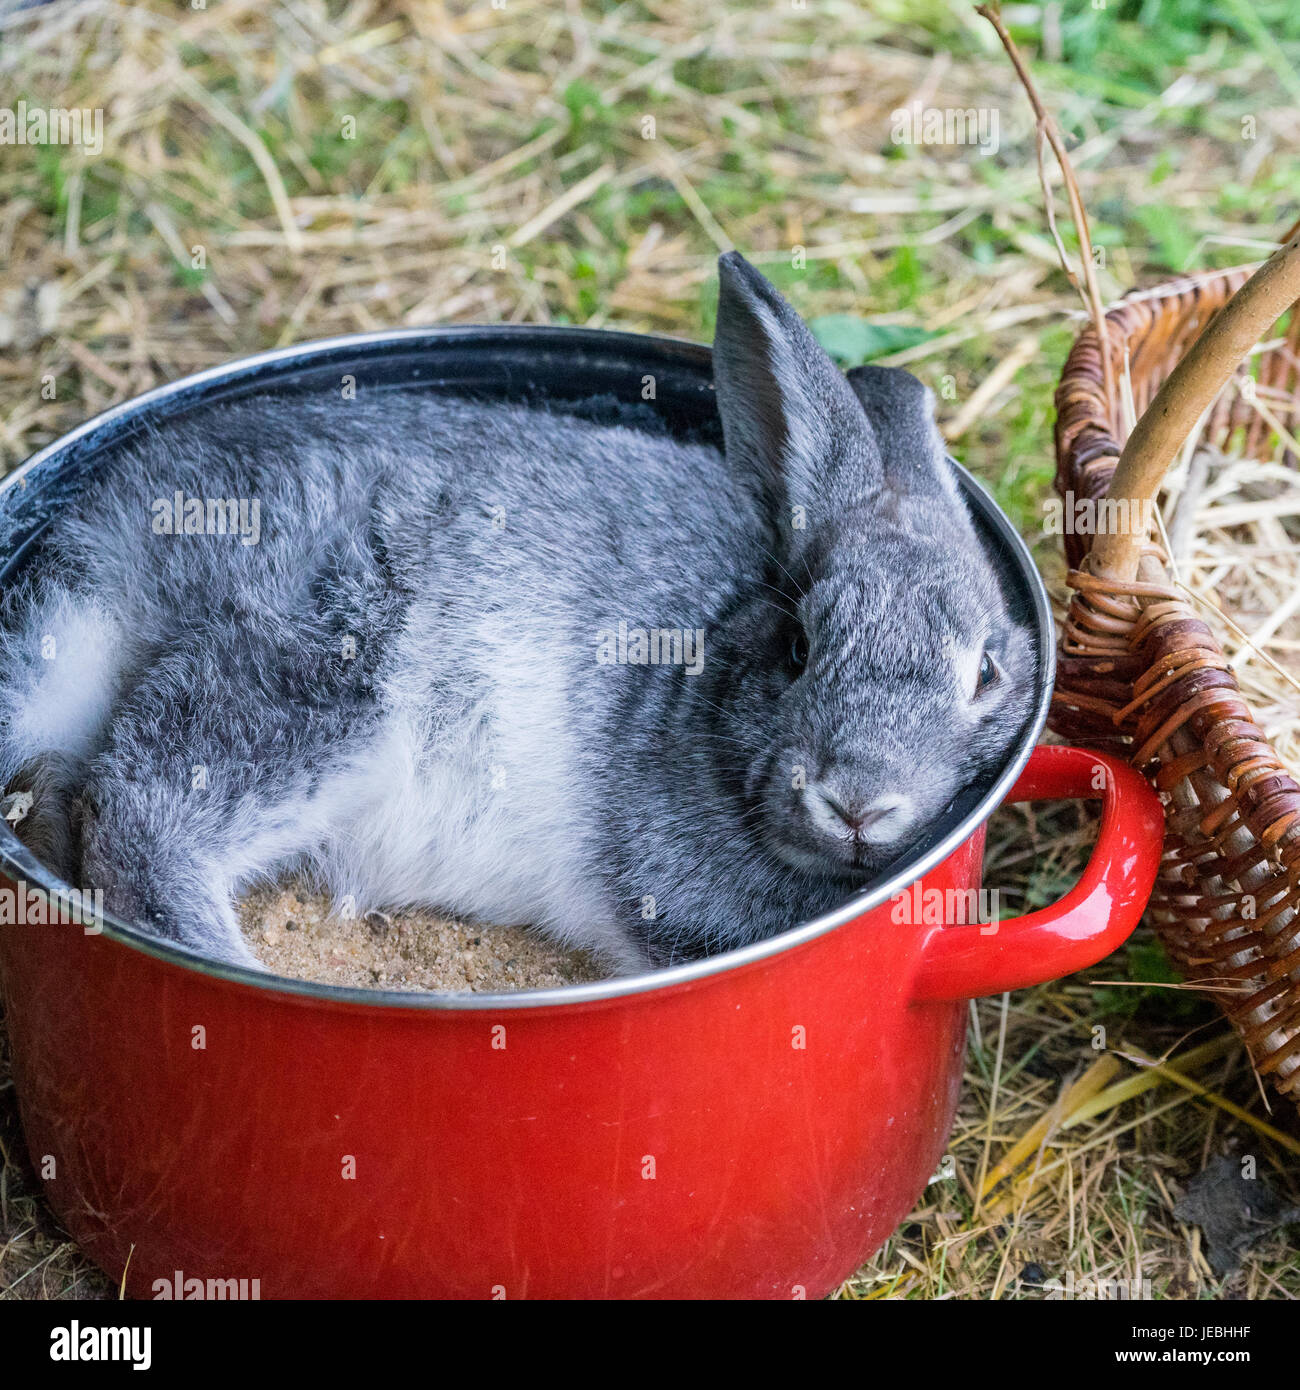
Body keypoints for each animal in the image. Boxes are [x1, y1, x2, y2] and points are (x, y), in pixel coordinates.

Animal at [0, 252, 1036, 974]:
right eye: (797, 645)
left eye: (986, 671)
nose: (858, 800)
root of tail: (112, 535)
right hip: (322, 670)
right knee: (142, 816)